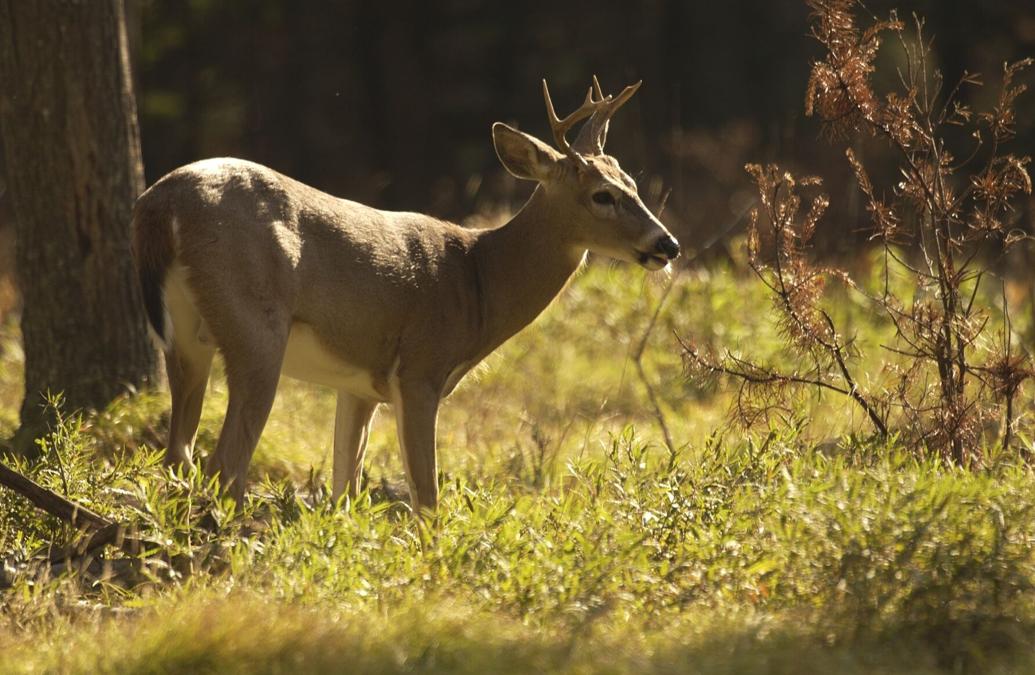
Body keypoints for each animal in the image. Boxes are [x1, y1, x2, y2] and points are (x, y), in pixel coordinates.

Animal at [132, 77, 680, 511]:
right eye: (602, 195)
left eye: (633, 183)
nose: (667, 244)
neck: (477, 281)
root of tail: (160, 204)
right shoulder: (420, 370)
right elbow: (427, 496)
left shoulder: (359, 385)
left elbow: (344, 489)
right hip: (256, 329)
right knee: (224, 464)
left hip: (186, 340)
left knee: (178, 453)